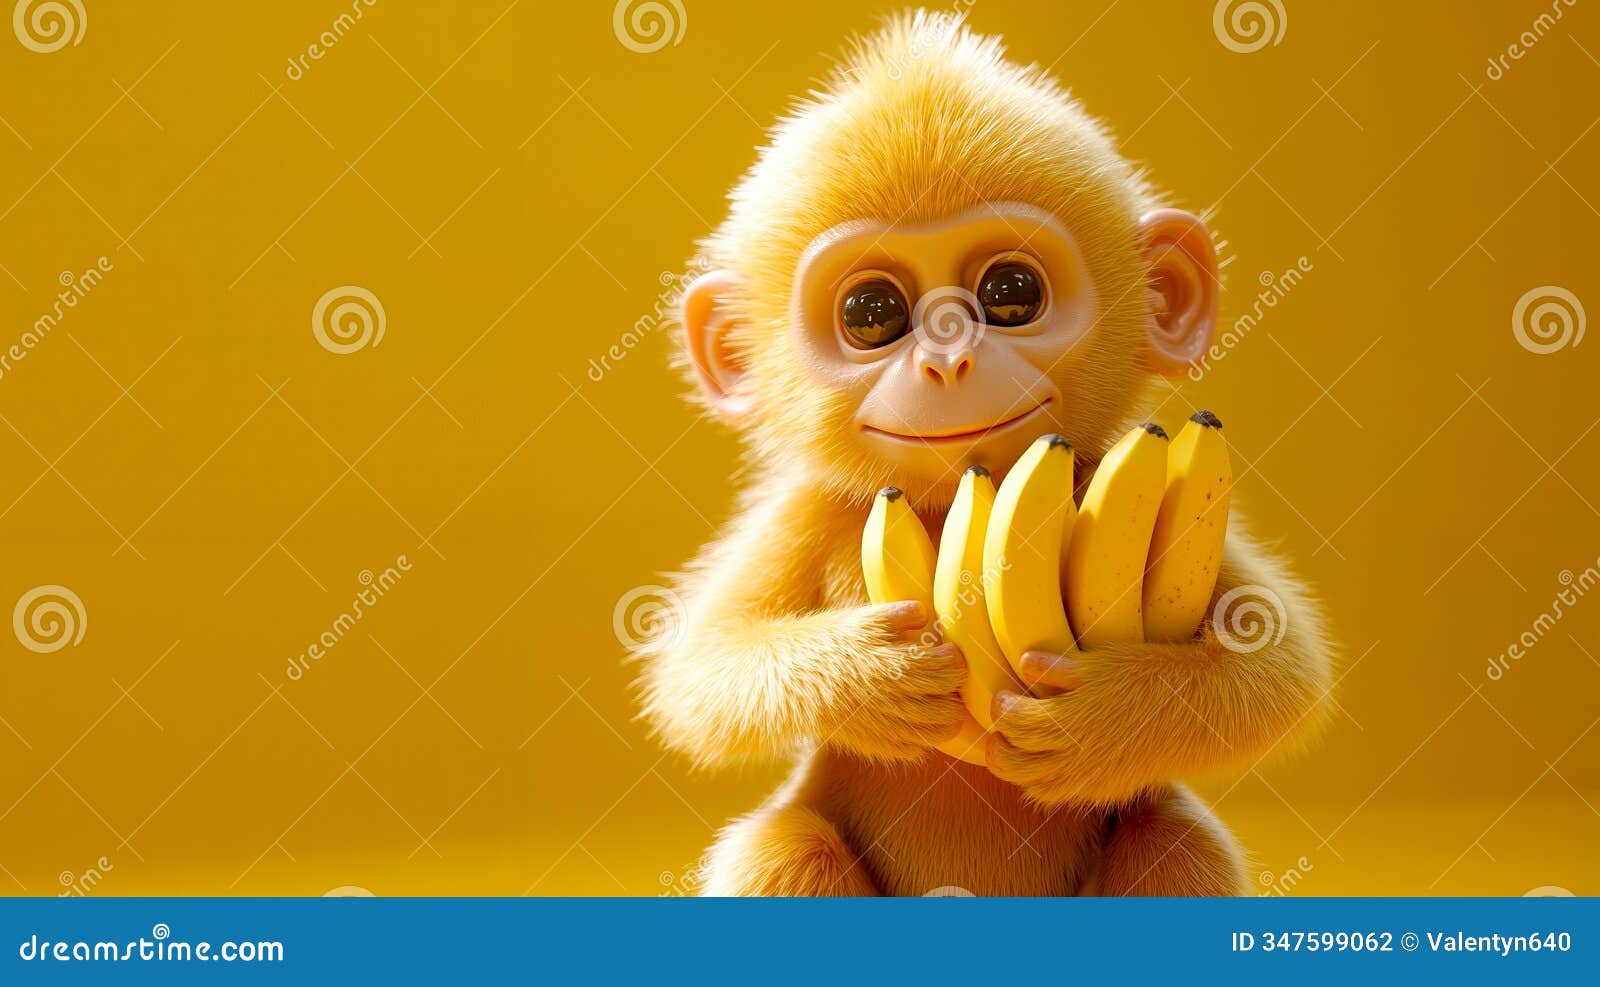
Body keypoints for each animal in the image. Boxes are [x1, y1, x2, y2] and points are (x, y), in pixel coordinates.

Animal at [637, 10, 1333, 897]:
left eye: (1010, 294)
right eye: (871, 312)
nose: (948, 359)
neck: (967, 493)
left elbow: (1276, 663)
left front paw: (1096, 720)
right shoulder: (808, 510)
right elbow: (700, 673)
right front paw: (872, 675)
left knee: (1174, 840)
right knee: (786, 847)